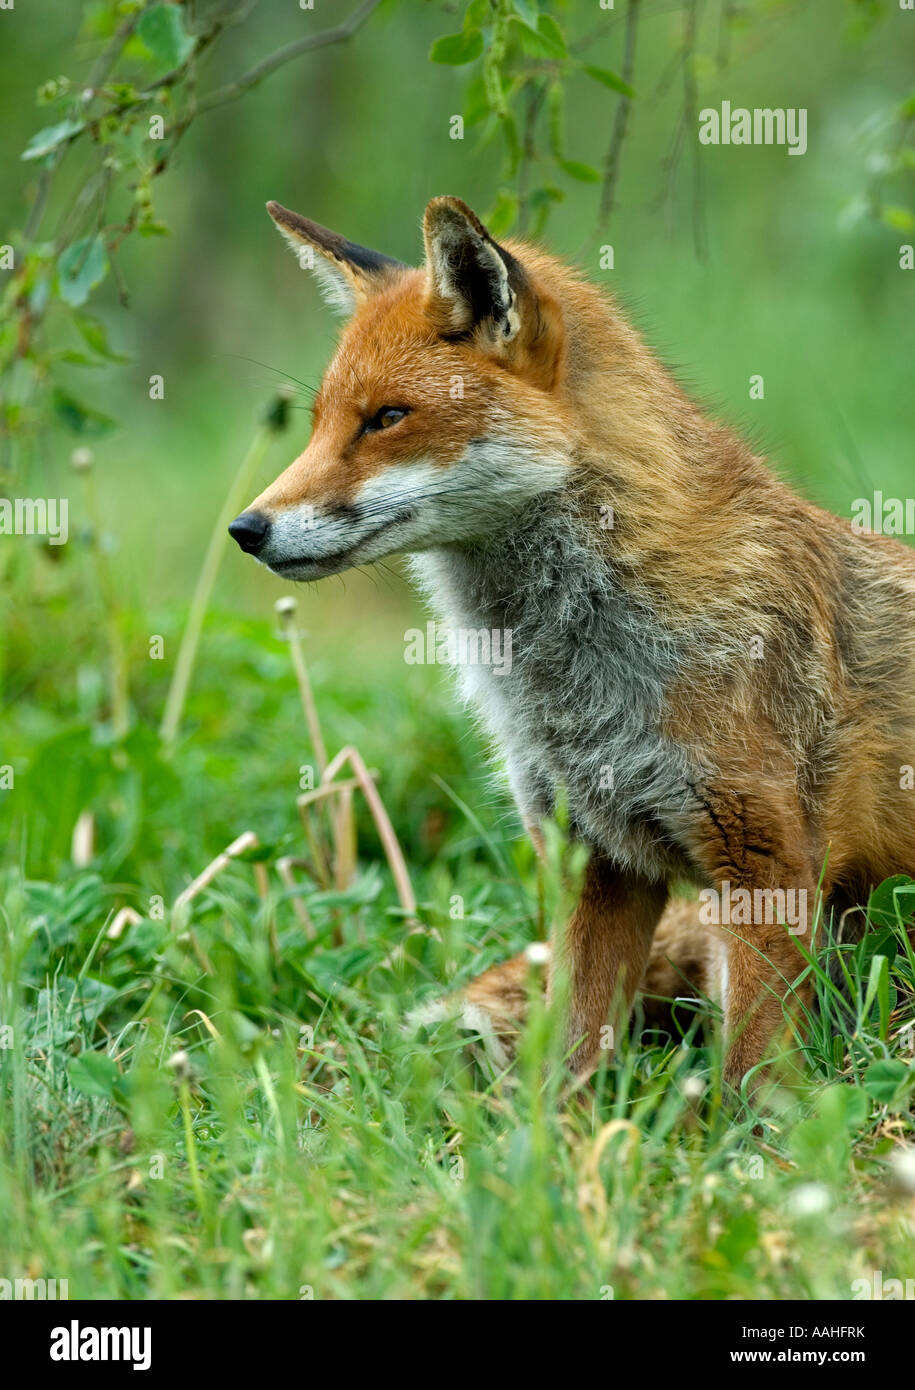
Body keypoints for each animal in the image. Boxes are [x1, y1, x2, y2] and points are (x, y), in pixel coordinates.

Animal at [229, 194, 915, 1091]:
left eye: (386, 419)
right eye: (316, 426)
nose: (247, 529)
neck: (572, 684)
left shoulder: (762, 864)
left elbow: (751, 1079)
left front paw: (748, 1130)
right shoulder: (597, 859)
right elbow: (574, 1053)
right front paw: (564, 1130)